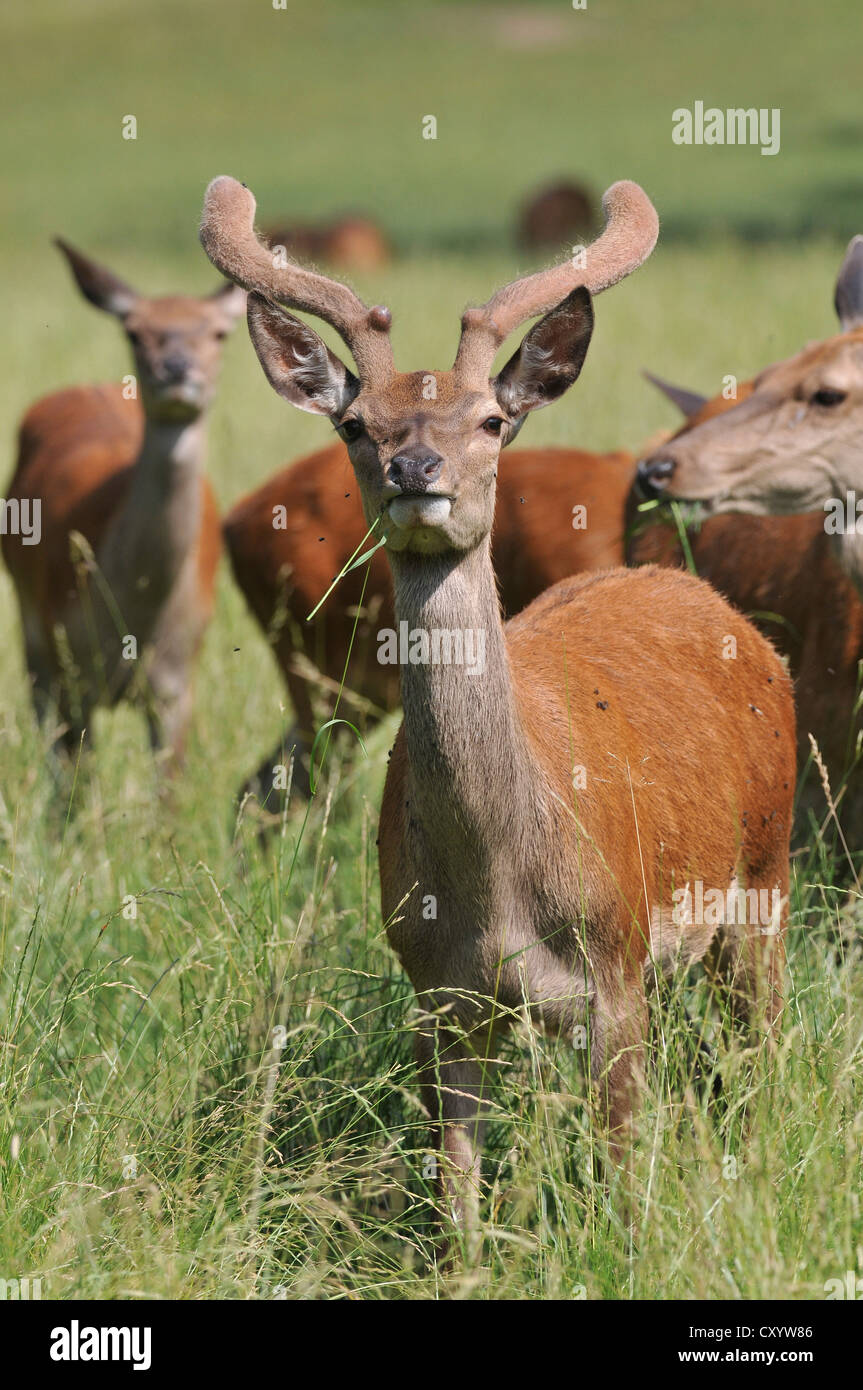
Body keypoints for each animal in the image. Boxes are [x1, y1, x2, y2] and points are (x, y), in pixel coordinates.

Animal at [2, 240, 245, 770]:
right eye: (134, 331)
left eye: (218, 332)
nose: (176, 369)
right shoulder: (71, 666)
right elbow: (75, 781)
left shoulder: (176, 686)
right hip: (33, 629)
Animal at [200, 174, 795, 1245]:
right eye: (356, 424)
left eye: (487, 420)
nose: (415, 472)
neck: (497, 891)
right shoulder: (439, 997)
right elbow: (456, 1199)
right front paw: (471, 1255)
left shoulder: (615, 967)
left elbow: (618, 1174)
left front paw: (625, 1250)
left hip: (765, 877)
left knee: (762, 1056)